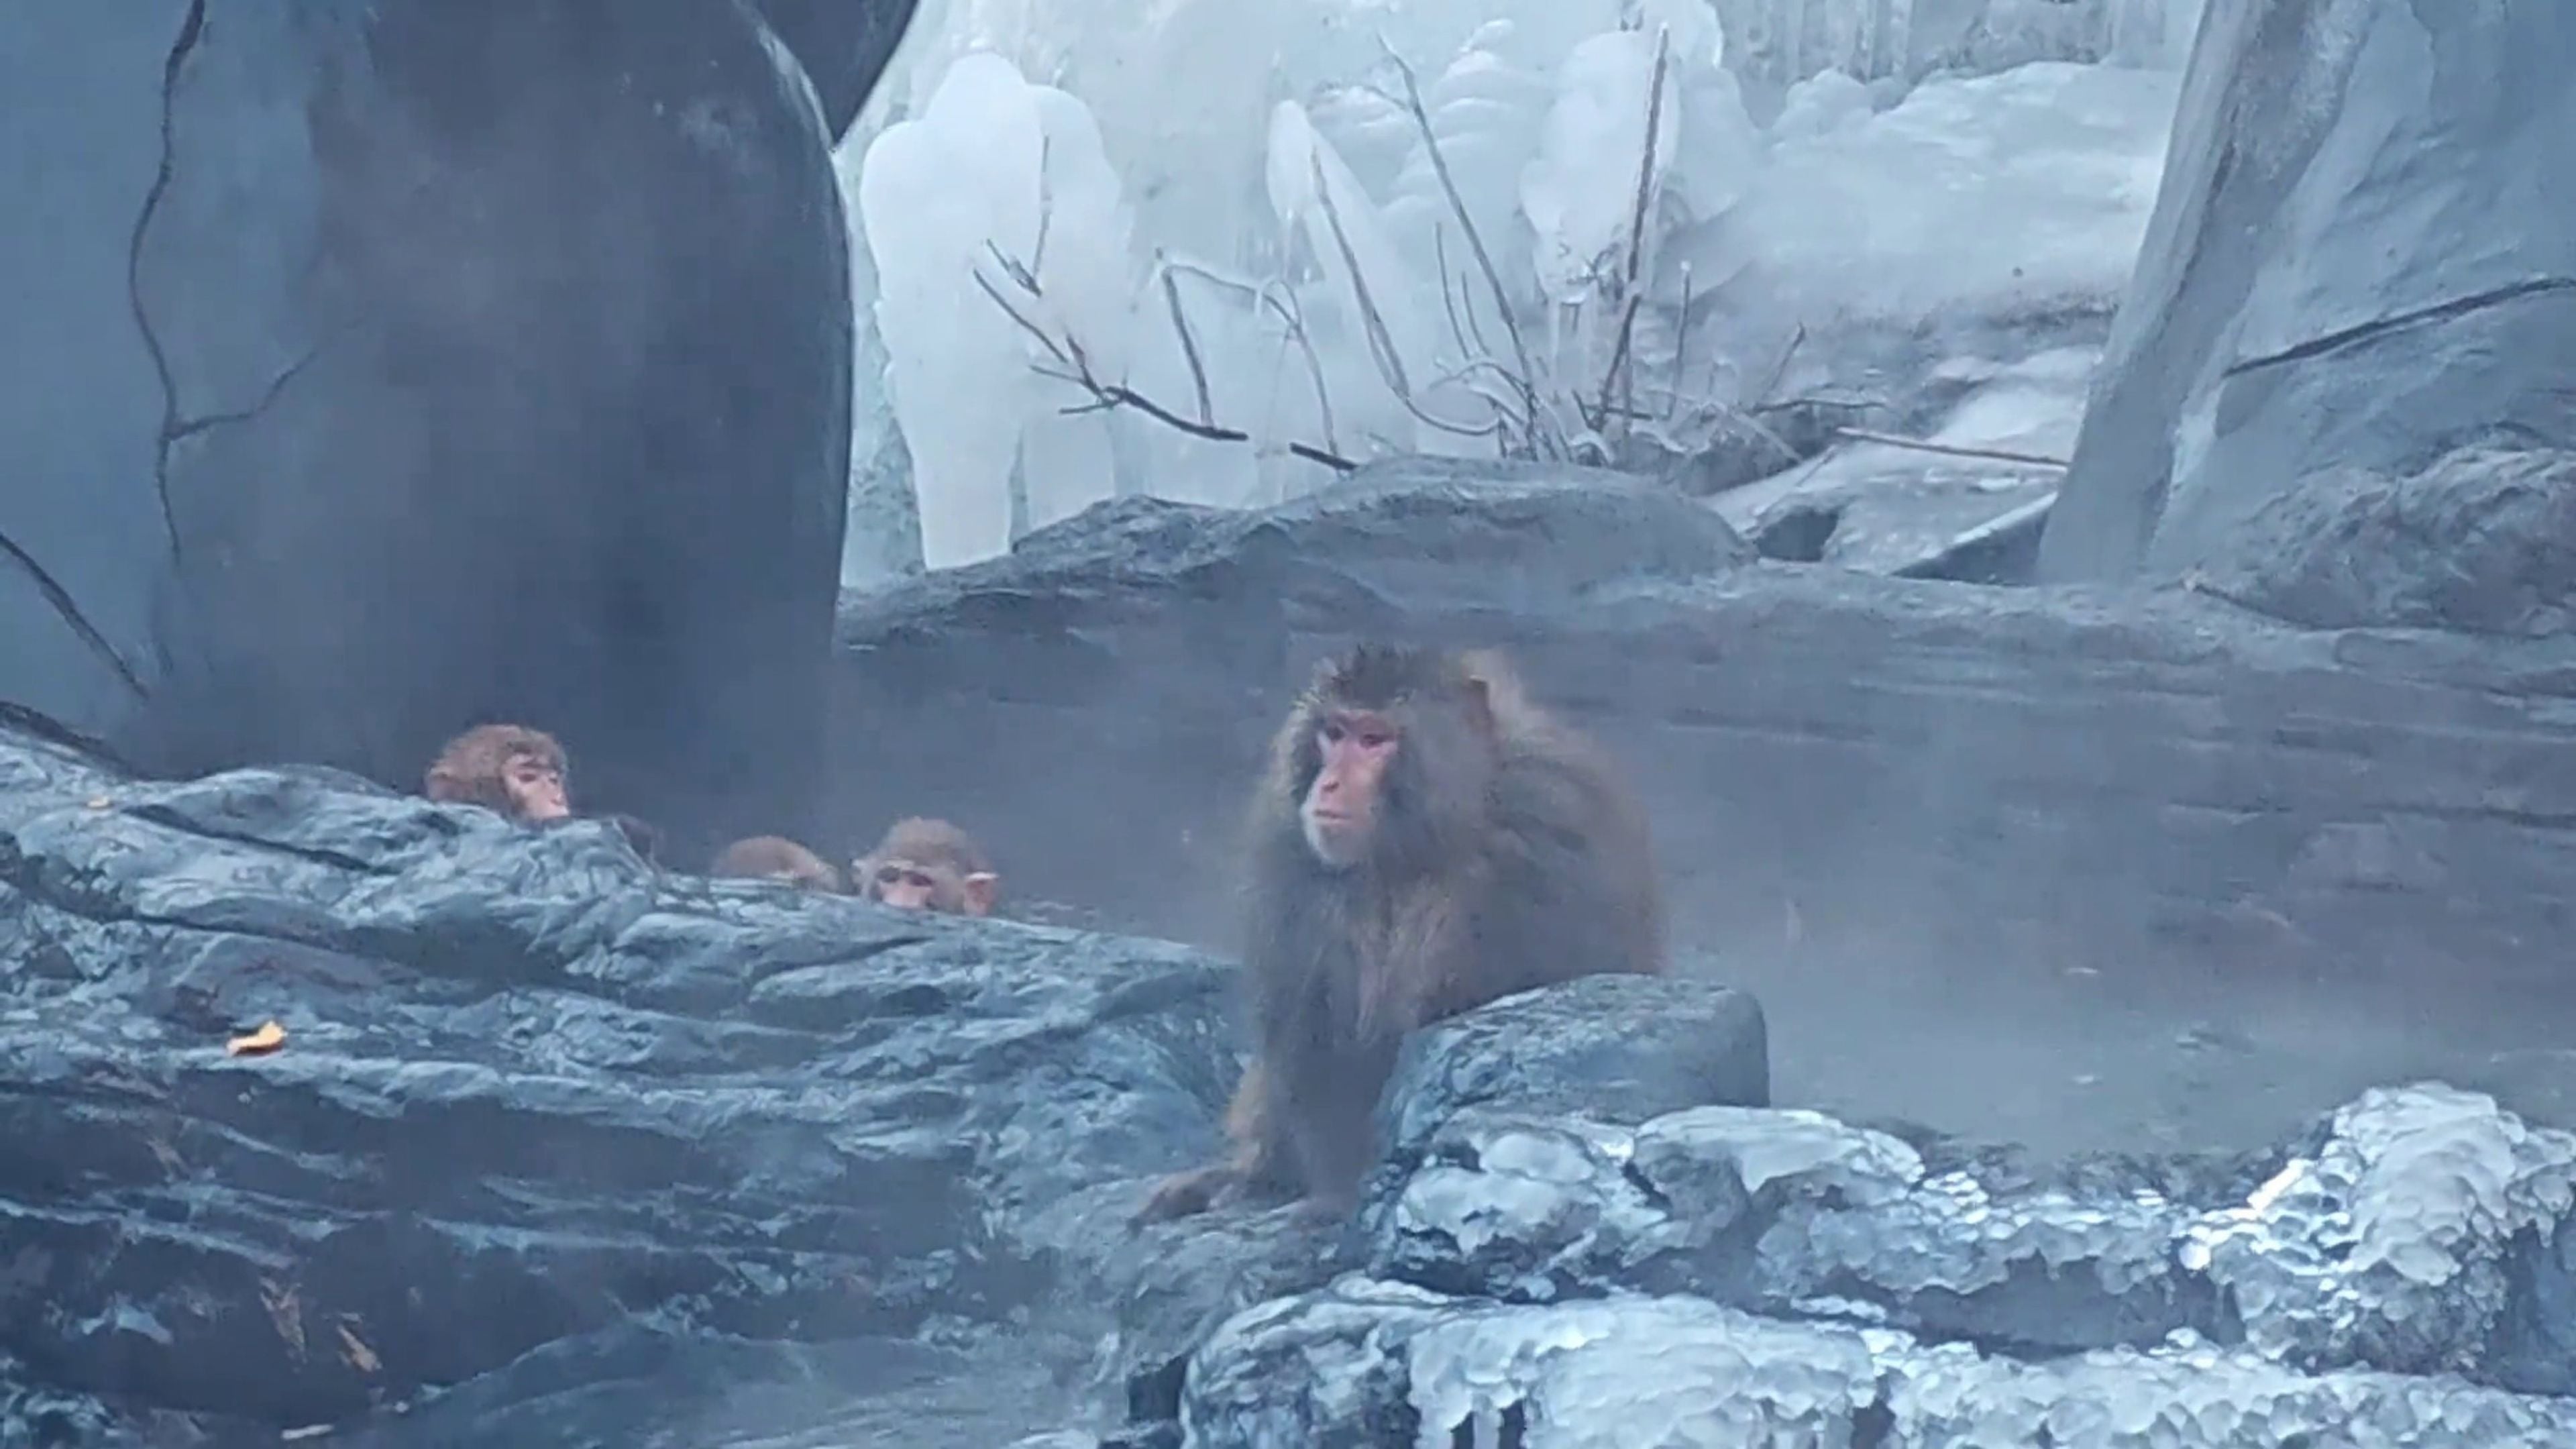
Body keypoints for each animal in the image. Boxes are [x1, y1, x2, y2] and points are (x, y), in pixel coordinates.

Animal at [1135, 643, 1666, 1224]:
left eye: (1374, 739)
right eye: (1335, 733)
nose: (1330, 784)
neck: (1415, 844)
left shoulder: (1551, 840)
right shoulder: (1294, 861)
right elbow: (1314, 1032)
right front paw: (1330, 1193)